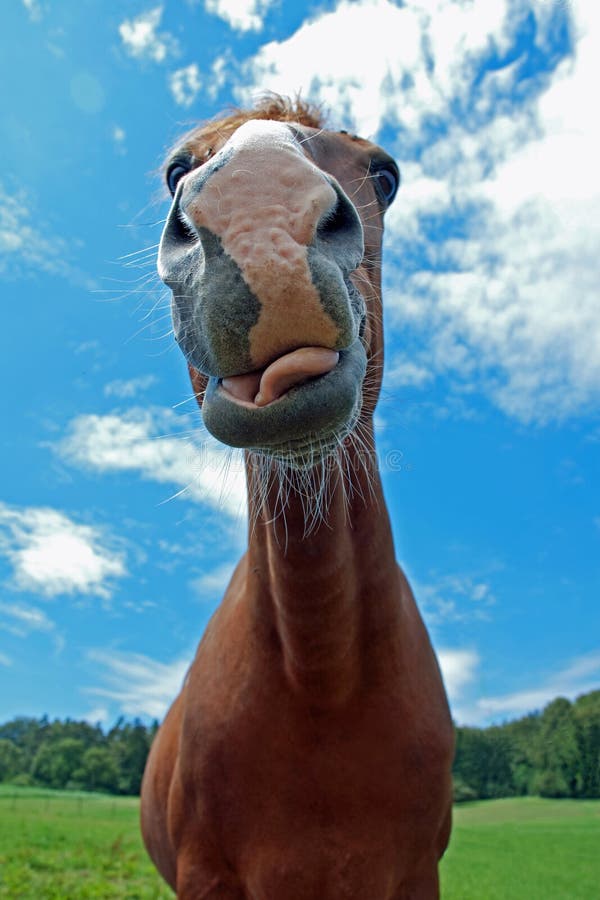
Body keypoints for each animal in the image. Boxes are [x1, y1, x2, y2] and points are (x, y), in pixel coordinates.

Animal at [140, 95, 454, 899]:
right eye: (176, 171)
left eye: (386, 174)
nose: (260, 217)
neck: (323, 680)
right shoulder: (206, 876)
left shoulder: (417, 875)